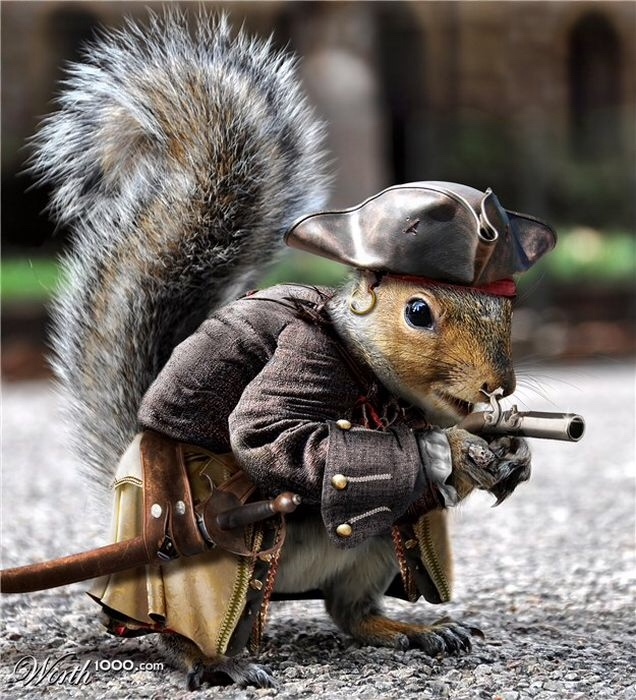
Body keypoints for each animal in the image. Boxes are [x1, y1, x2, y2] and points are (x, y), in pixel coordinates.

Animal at [29, 10, 556, 691]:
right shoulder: (300, 362)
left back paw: (416, 629)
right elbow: (274, 438)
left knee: (351, 611)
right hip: (204, 558)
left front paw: (507, 452)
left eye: (508, 309)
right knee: (180, 628)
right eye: (419, 312)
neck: (377, 384)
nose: (499, 386)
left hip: (371, 551)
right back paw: (213, 659)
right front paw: (450, 446)